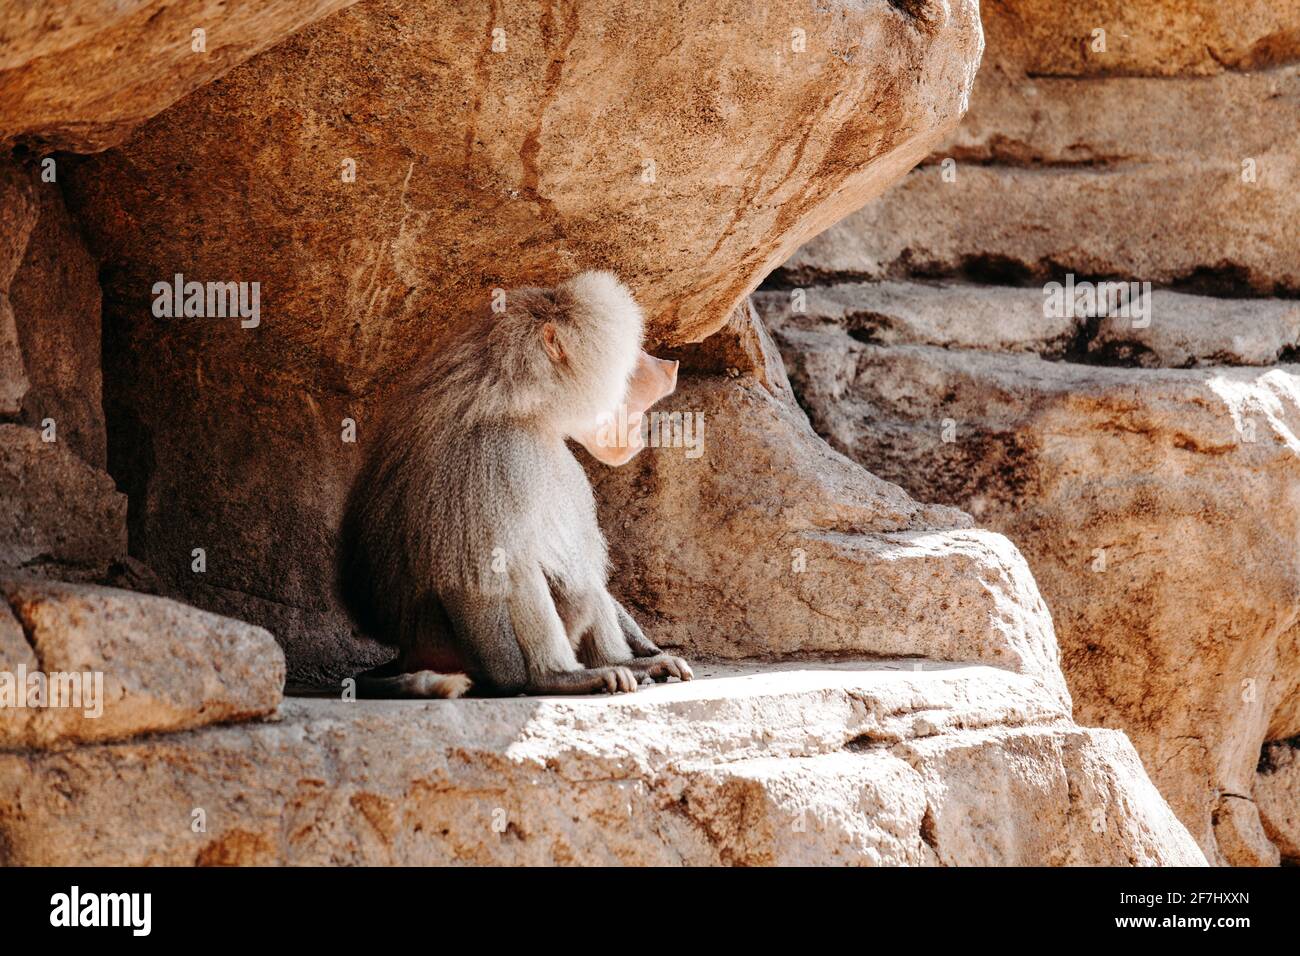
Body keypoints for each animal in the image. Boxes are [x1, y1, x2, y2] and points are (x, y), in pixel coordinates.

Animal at [337, 270, 693, 698]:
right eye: (631, 360)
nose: (669, 366)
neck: (525, 406)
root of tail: (407, 651)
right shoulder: (496, 455)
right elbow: (475, 572)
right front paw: (530, 678)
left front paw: (646, 652)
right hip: (448, 643)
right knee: (519, 563)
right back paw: (558, 676)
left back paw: (626, 663)